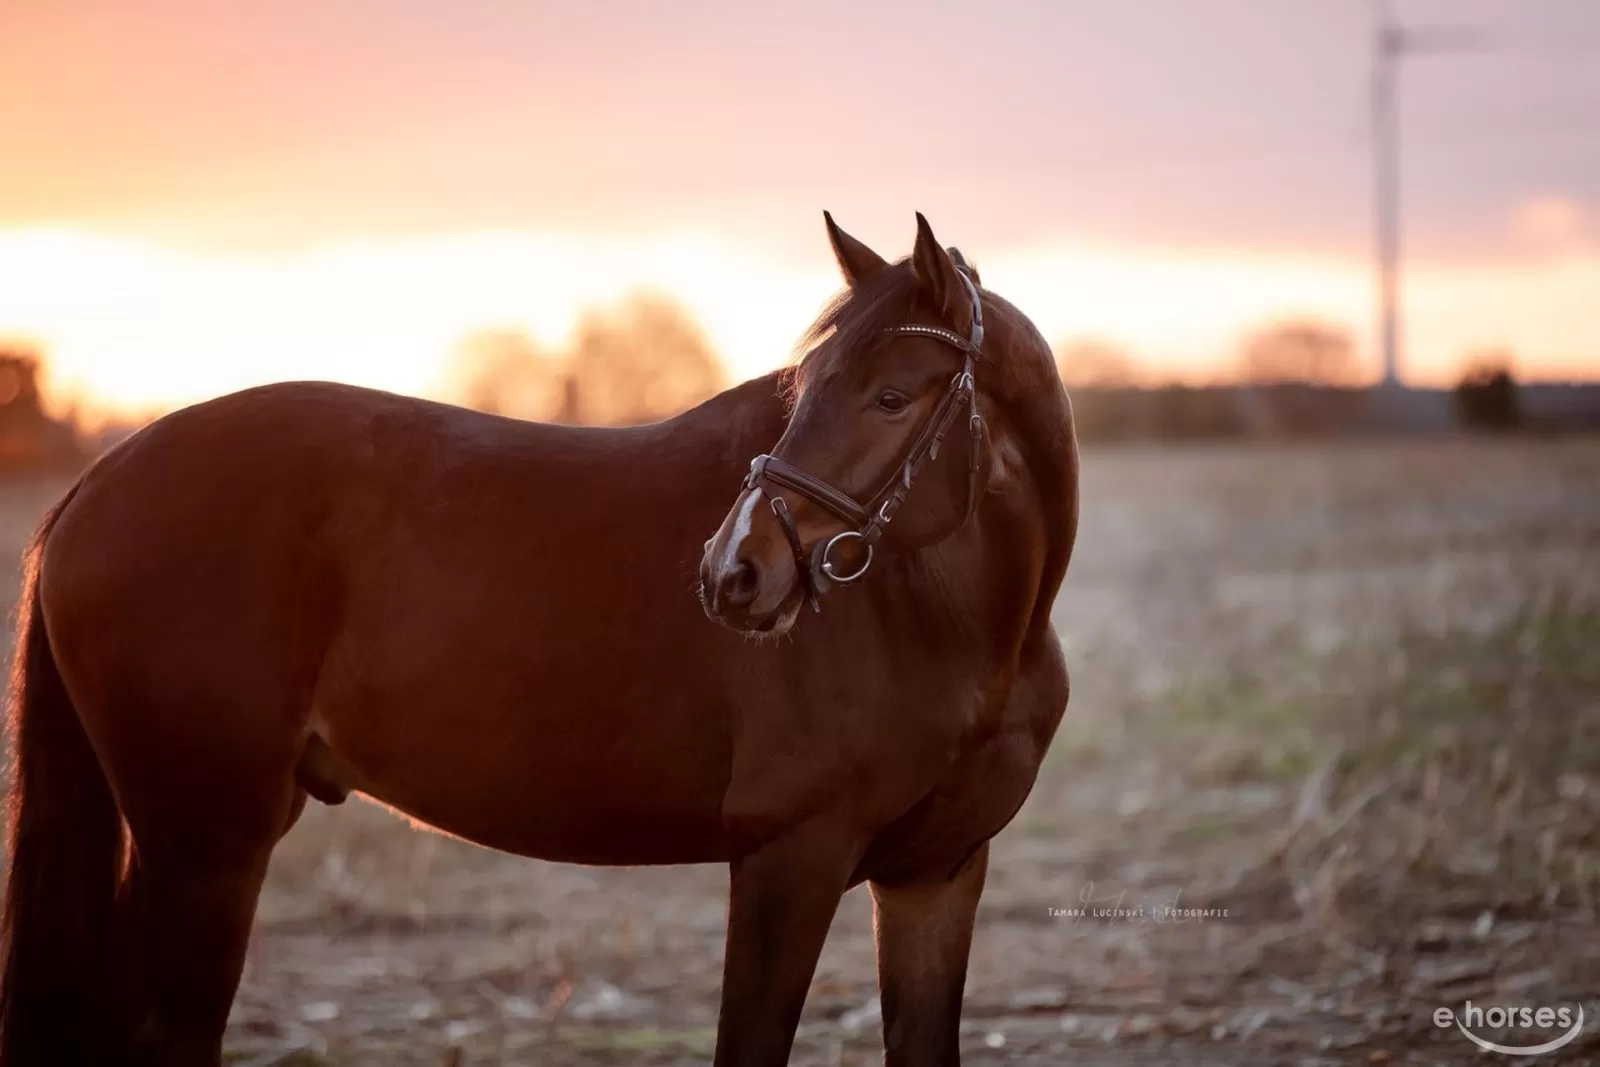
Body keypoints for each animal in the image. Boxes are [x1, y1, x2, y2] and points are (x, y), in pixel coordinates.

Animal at [0, 212, 1075, 1062]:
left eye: (892, 395)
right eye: (802, 384)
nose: (735, 570)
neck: (954, 618)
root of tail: (101, 479)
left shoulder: (935, 875)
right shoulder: (789, 859)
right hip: (206, 850)